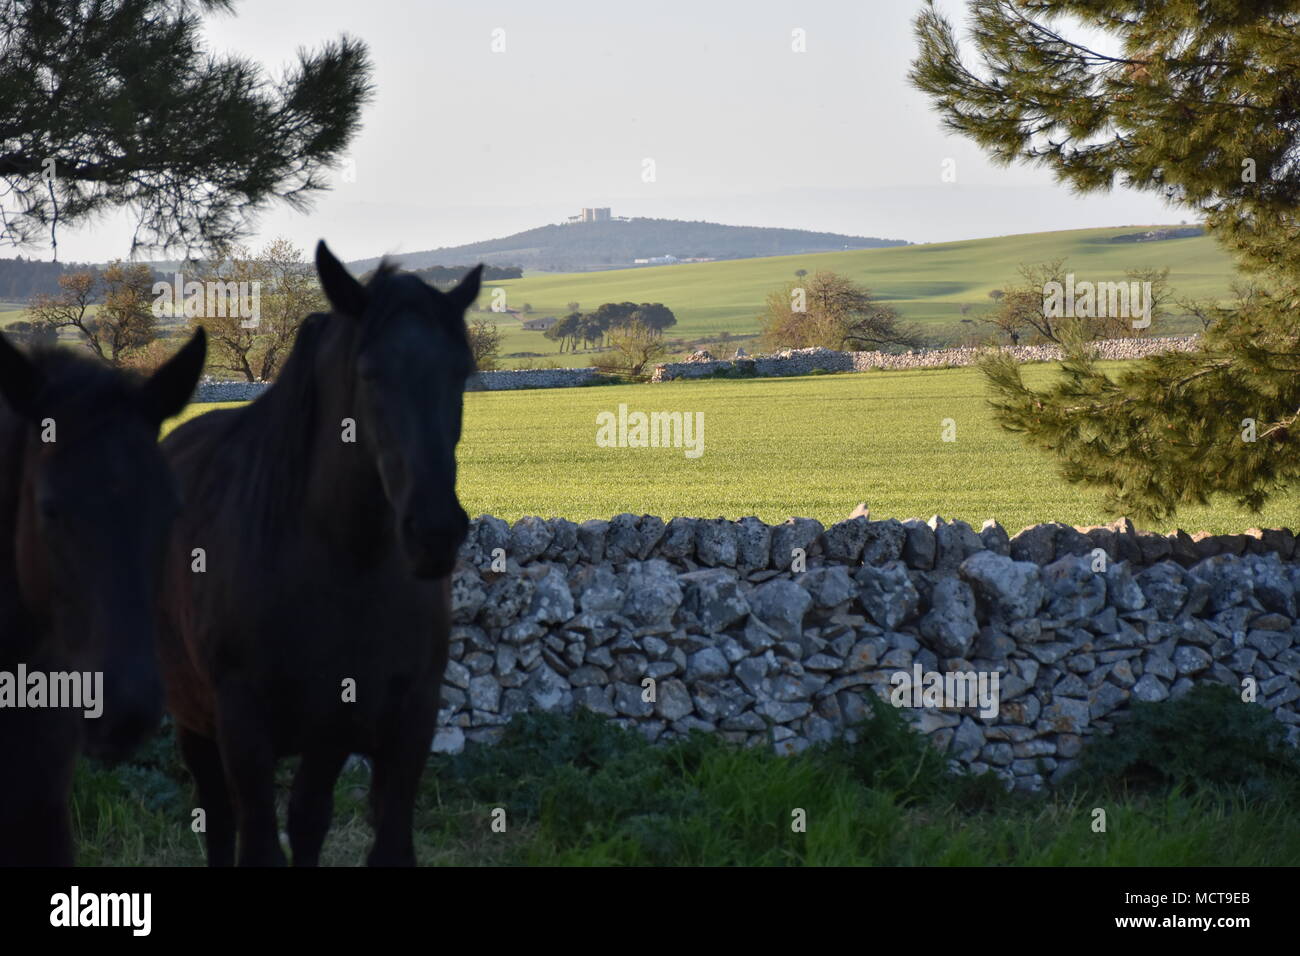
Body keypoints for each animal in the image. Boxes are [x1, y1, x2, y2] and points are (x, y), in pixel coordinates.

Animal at [157, 241, 479, 866]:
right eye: (370, 374)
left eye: (462, 372)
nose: (434, 532)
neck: (346, 558)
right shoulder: (243, 729)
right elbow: (257, 842)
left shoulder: (403, 724)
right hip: (196, 721)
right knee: (220, 818)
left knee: (308, 817)